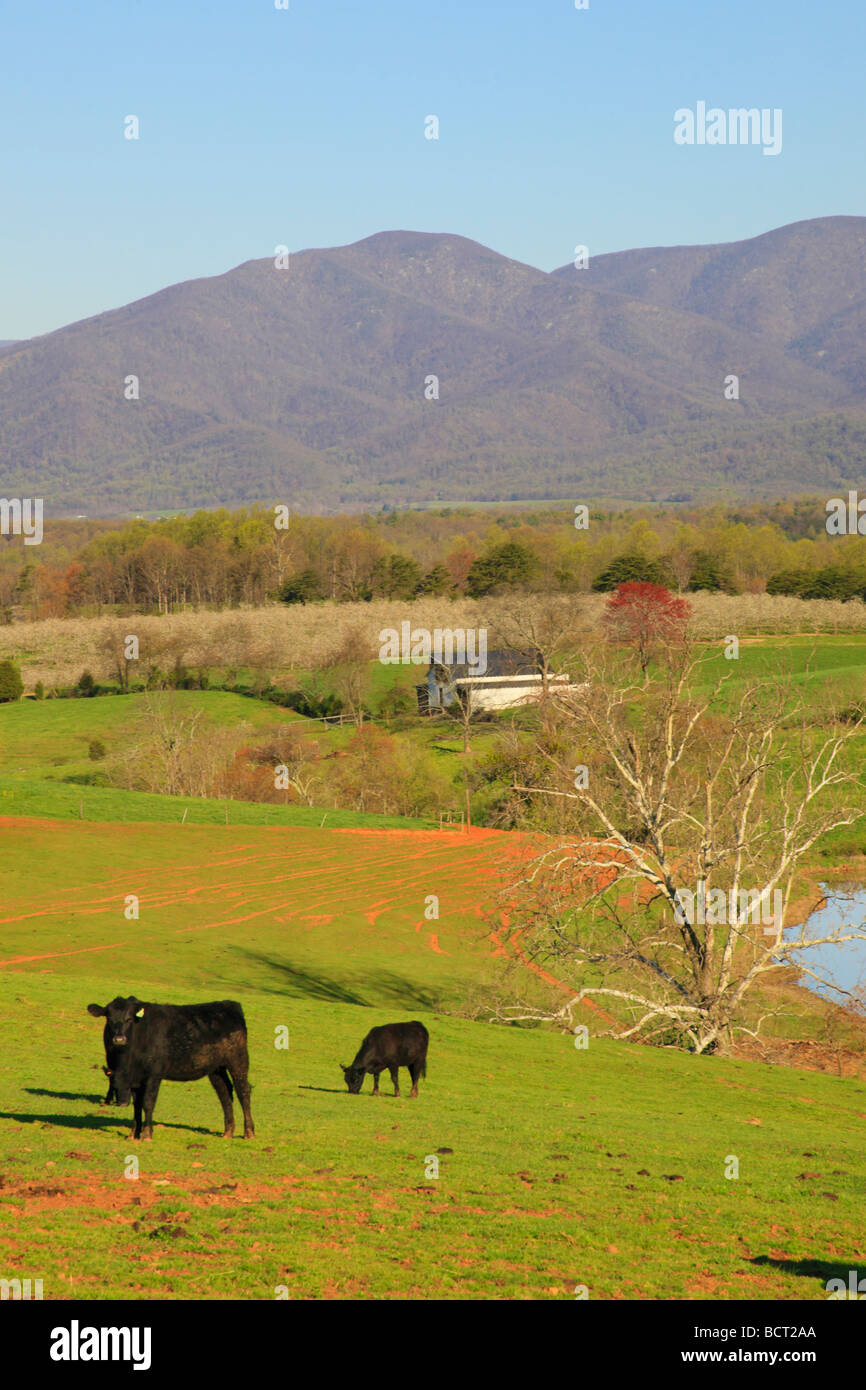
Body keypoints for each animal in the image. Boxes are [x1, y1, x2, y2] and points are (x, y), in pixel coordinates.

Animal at [86, 996, 254, 1141]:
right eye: (109, 1019)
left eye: (129, 1019)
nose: (119, 1039)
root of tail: (229, 1004)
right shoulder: (135, 1078)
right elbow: (137, 1105)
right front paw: (133, 1134)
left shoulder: (154, 1074)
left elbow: (148, 1102)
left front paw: (147, 1134)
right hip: (216, 1068)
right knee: (225, 1093)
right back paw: (228, 1132)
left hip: (238, 1060)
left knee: (243, 1091)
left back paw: (249, 1132)